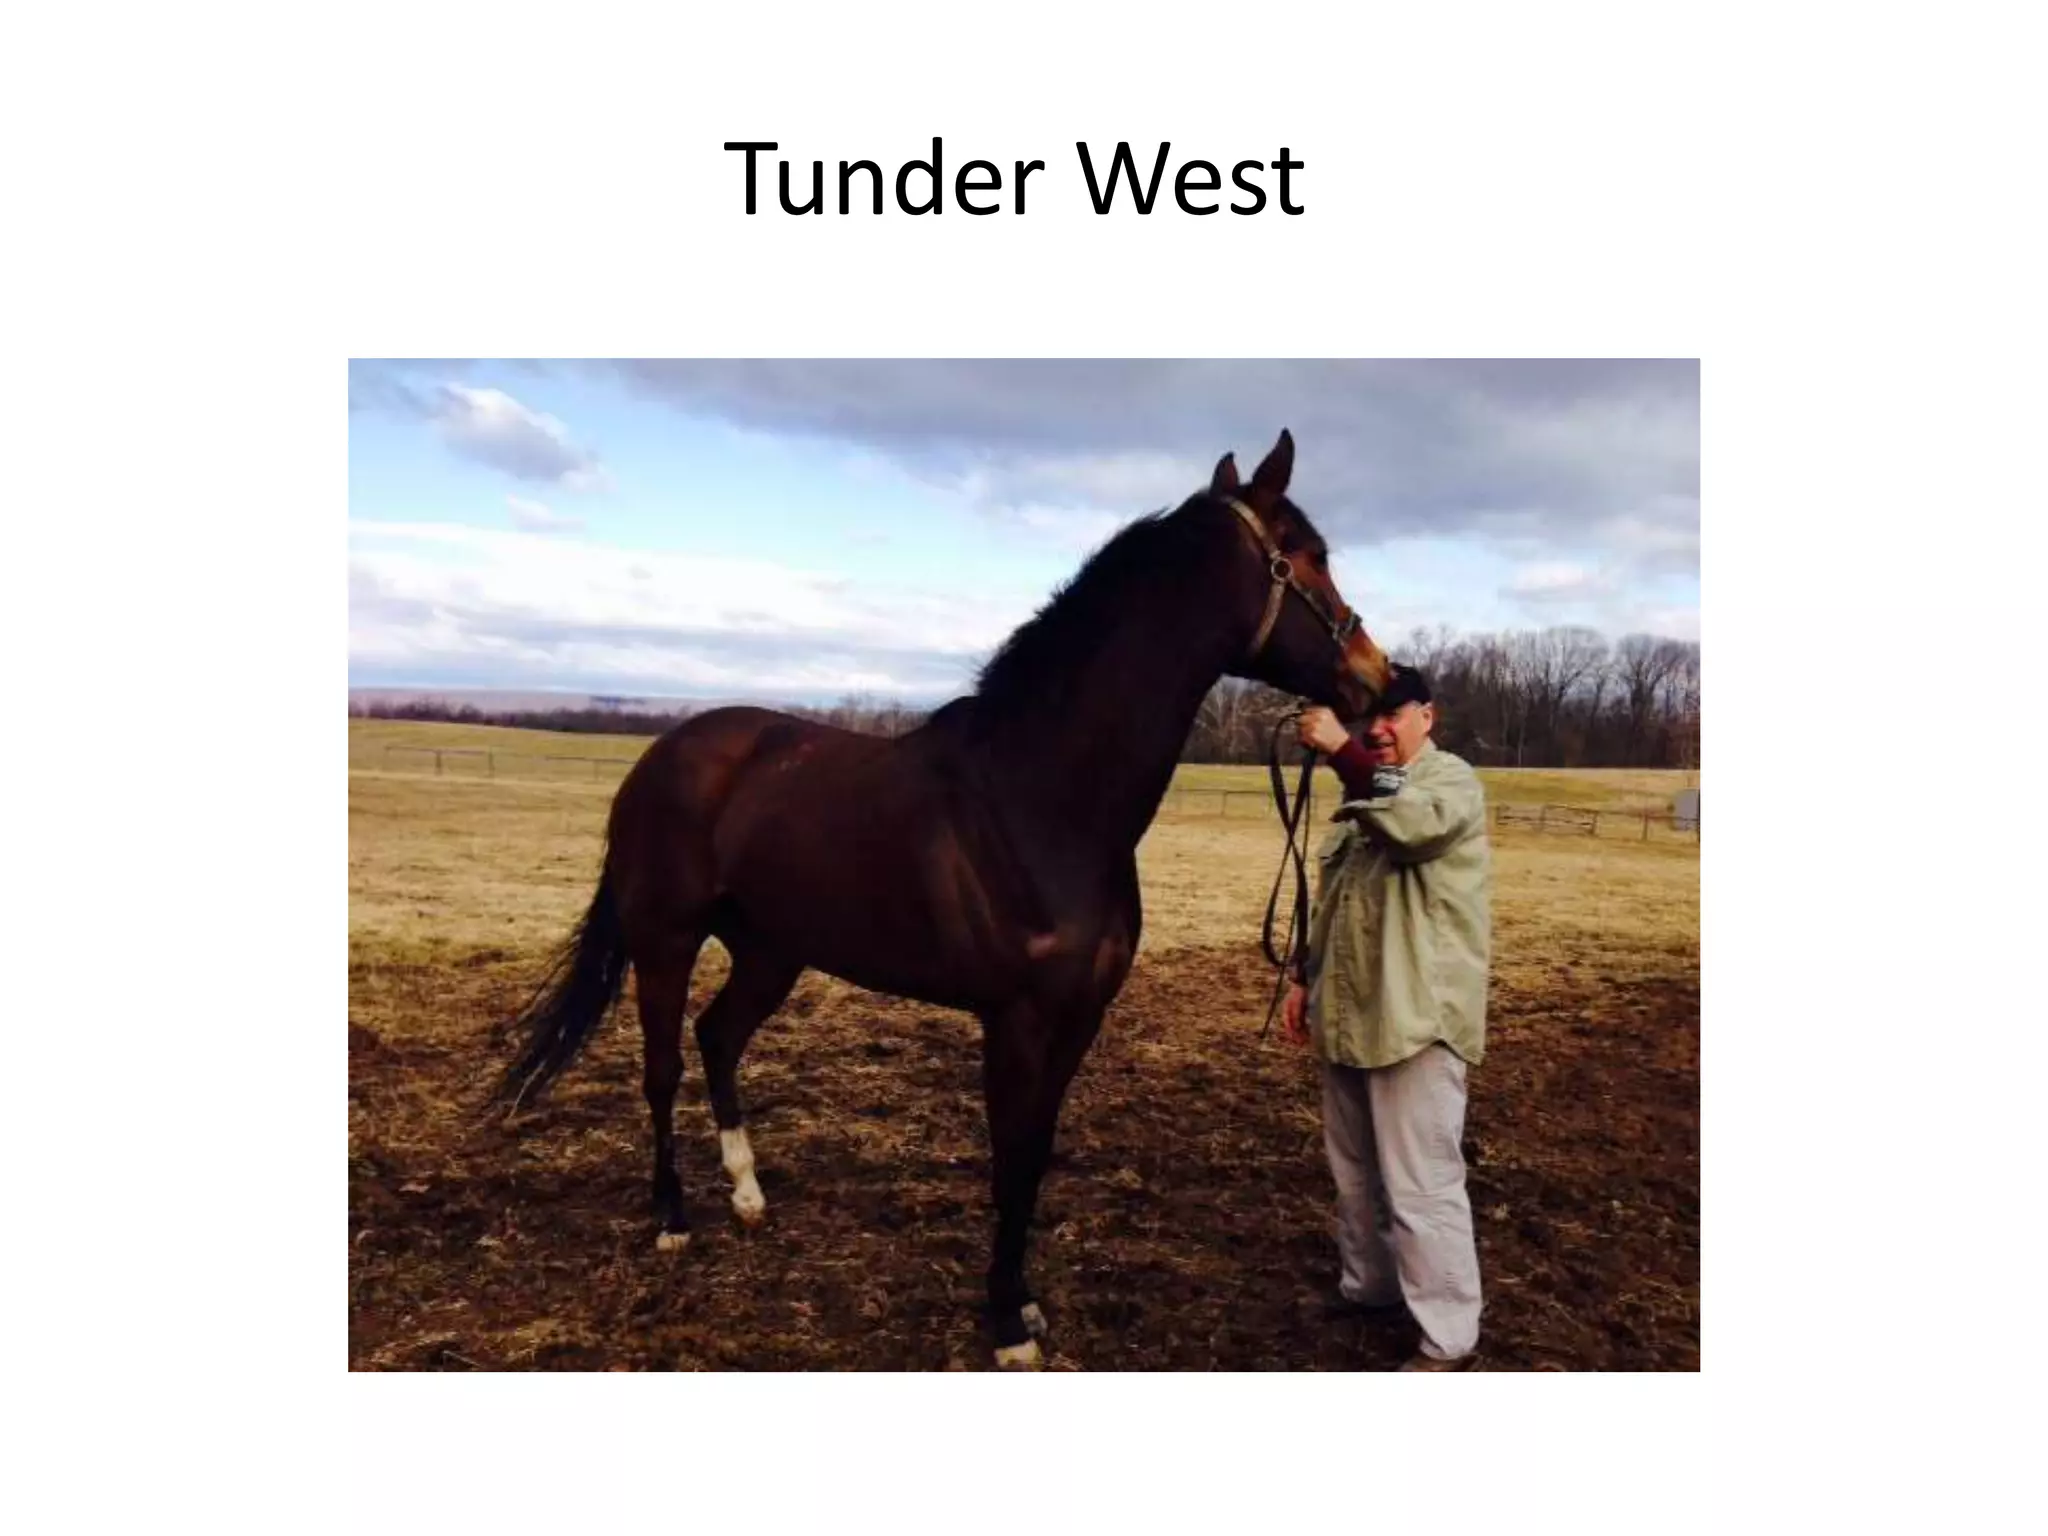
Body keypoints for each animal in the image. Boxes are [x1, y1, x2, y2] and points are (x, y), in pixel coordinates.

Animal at [497, 428, 1392, 1367]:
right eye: (1310, 555)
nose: (1380, 679)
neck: (1041, 797)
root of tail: (662, 755)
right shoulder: (1016, 1020)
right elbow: (1011, 1159)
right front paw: (1004, 1323)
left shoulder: (1078, 1019)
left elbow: (1035, 1156)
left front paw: (1023, 1303)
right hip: (665, 940)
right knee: (664, 1065)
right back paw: (672, 1217)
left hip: (773, 950)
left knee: (718, 1038)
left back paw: (747, 1197)